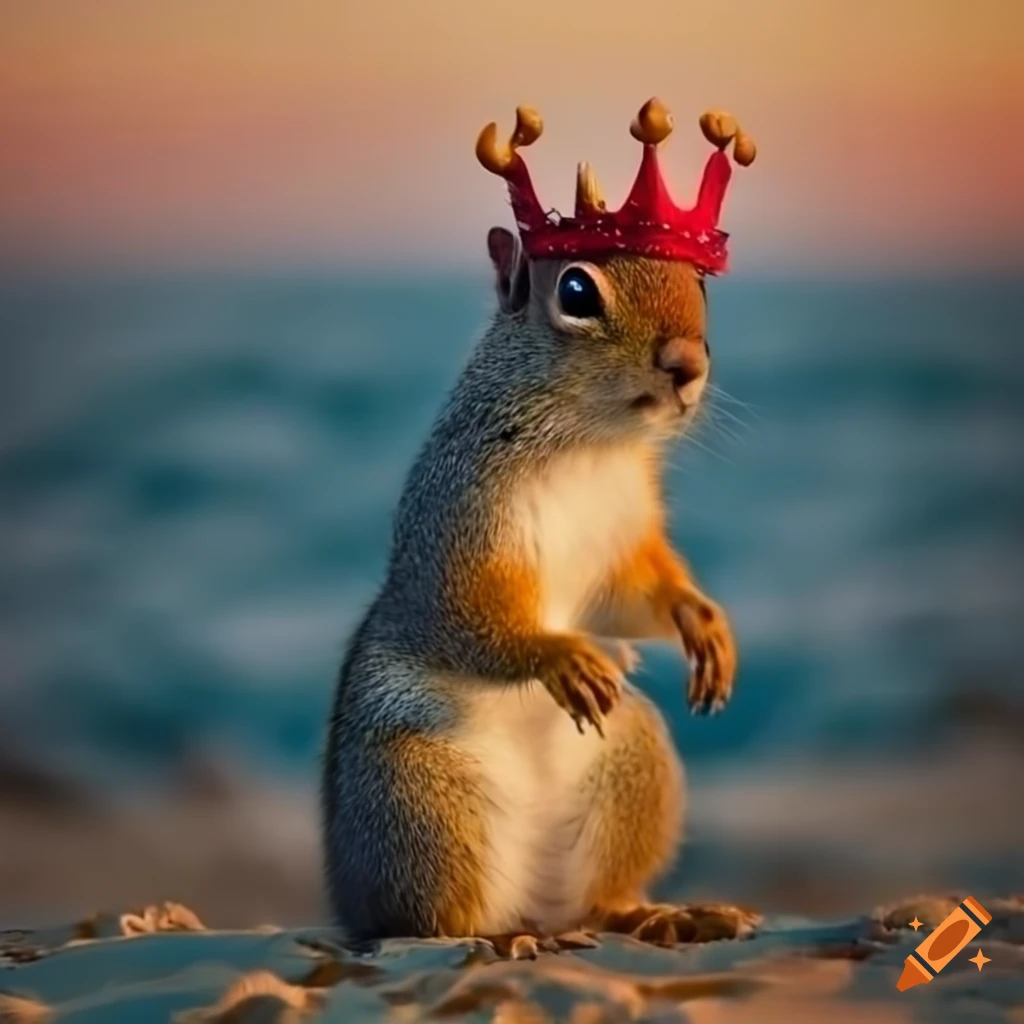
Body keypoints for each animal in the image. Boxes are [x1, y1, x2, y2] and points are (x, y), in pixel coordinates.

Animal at [321, 99, 760, 949]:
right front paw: (556, 656)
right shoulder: (457, 521)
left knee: (601, 897)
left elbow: (635, 595)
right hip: (418, 797)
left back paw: (660, 914)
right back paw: (494, 936)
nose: (688, 365)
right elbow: (469, 616)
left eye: (700, 285)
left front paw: (703, 621)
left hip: (632, 762)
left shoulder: (622, 538)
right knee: (428, 920)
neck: (589, 445)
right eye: (579, 291)